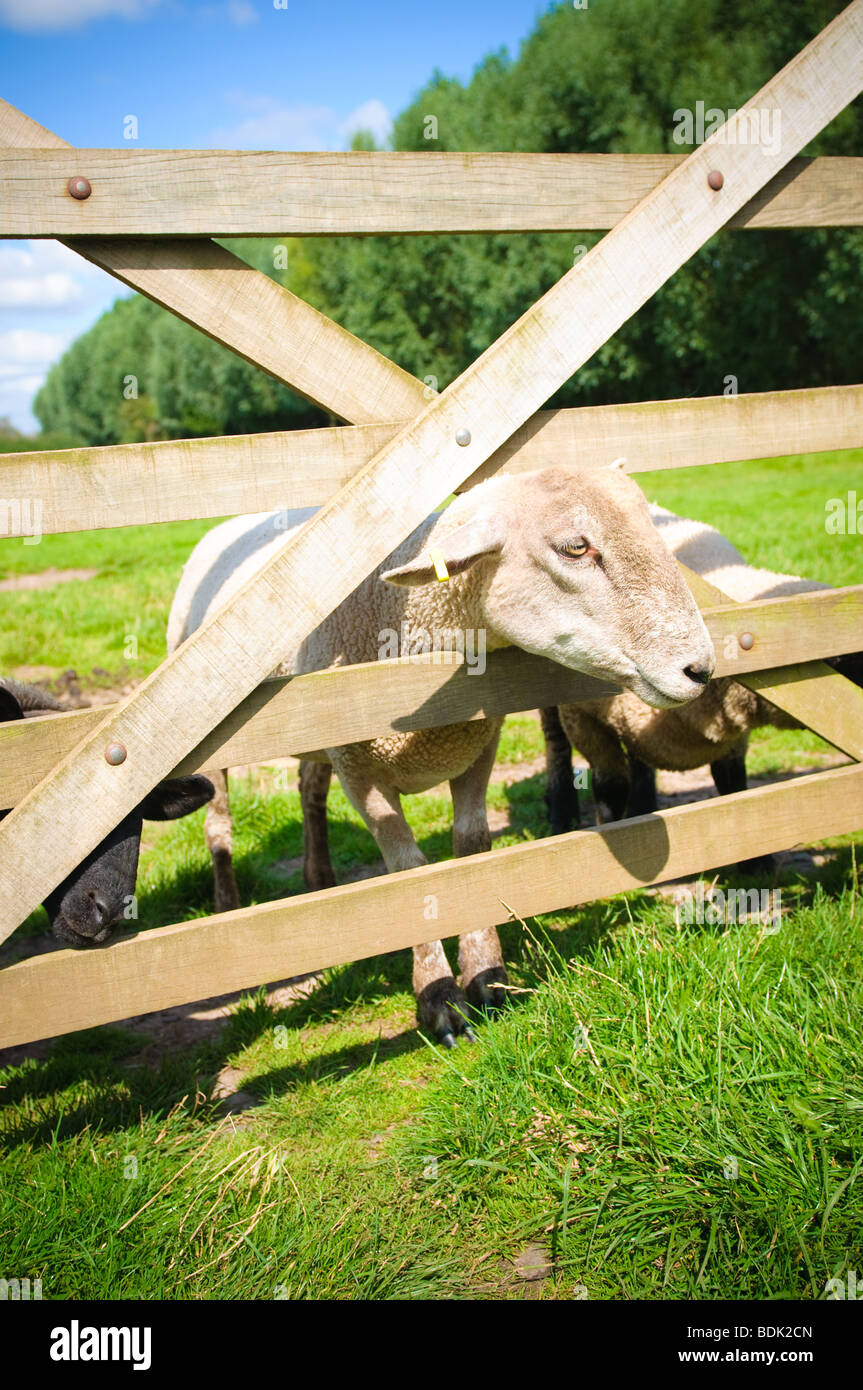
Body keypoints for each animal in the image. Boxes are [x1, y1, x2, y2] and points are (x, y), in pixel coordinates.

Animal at [167, 465, 715, 1045]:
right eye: (575, 547)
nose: (700, 669)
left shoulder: (477, 745)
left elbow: (471, 845)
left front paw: (487, 978)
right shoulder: (360, 770)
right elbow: (409, 868)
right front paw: (439, 1000)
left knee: (309, 789)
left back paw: (321, 880)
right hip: (215, 740)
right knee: (219, 825)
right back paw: (228, 911)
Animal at [542, 502, 860, 851]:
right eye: (845, 660)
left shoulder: (731, 732)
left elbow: (733, 787)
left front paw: (756, 860)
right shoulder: (585, 721)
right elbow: (610, 790)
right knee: (556, 744)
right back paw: (562, 815)